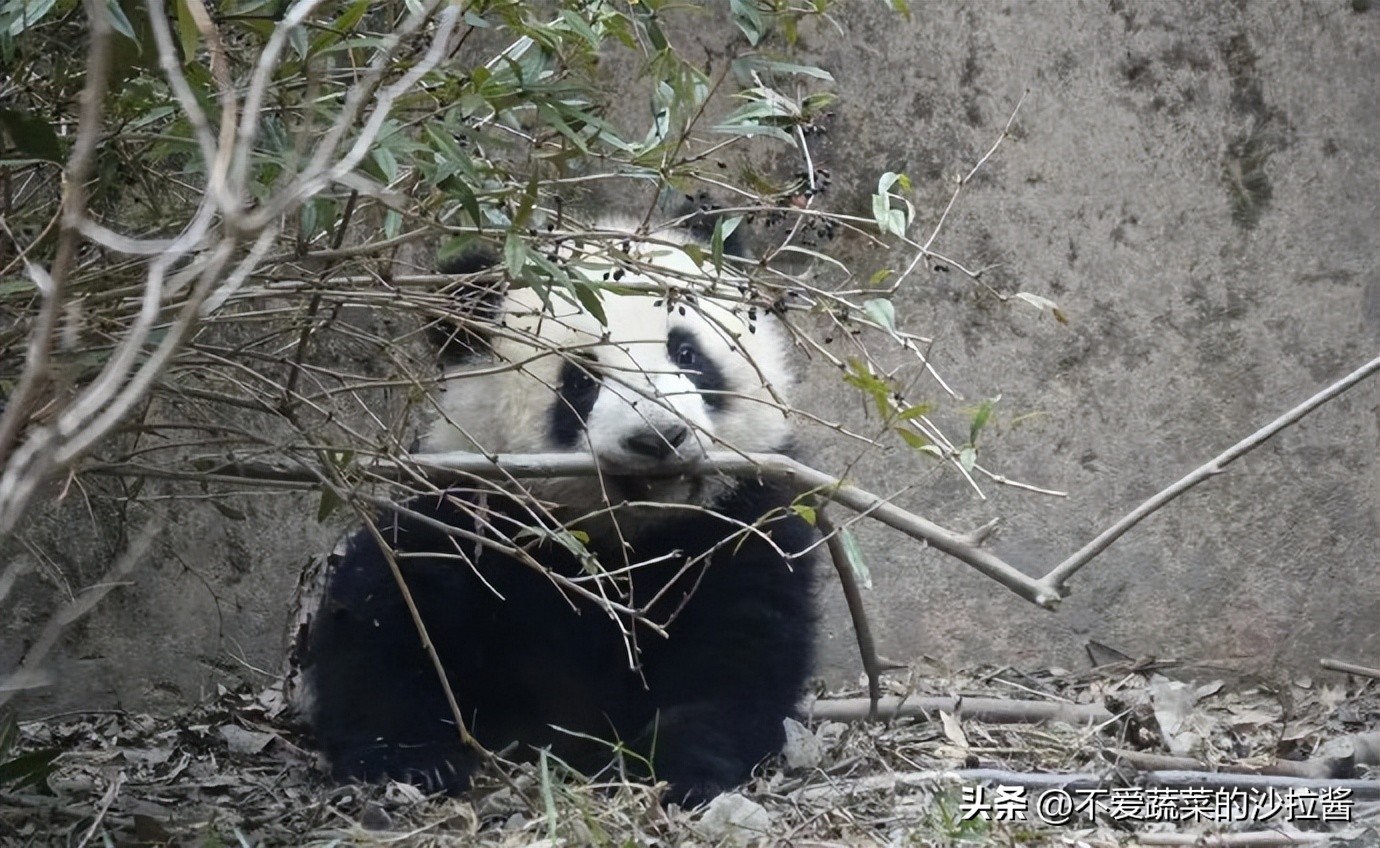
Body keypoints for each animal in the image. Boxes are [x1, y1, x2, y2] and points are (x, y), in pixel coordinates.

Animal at [300, 217, 817, 807]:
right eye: (580, 380)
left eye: (686, 353)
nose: (658, 437)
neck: (623, 533)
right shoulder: (470, 510)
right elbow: (393, 610)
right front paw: (411, 761)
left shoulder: (742, 518)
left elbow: (740, 643)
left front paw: (682, 764)